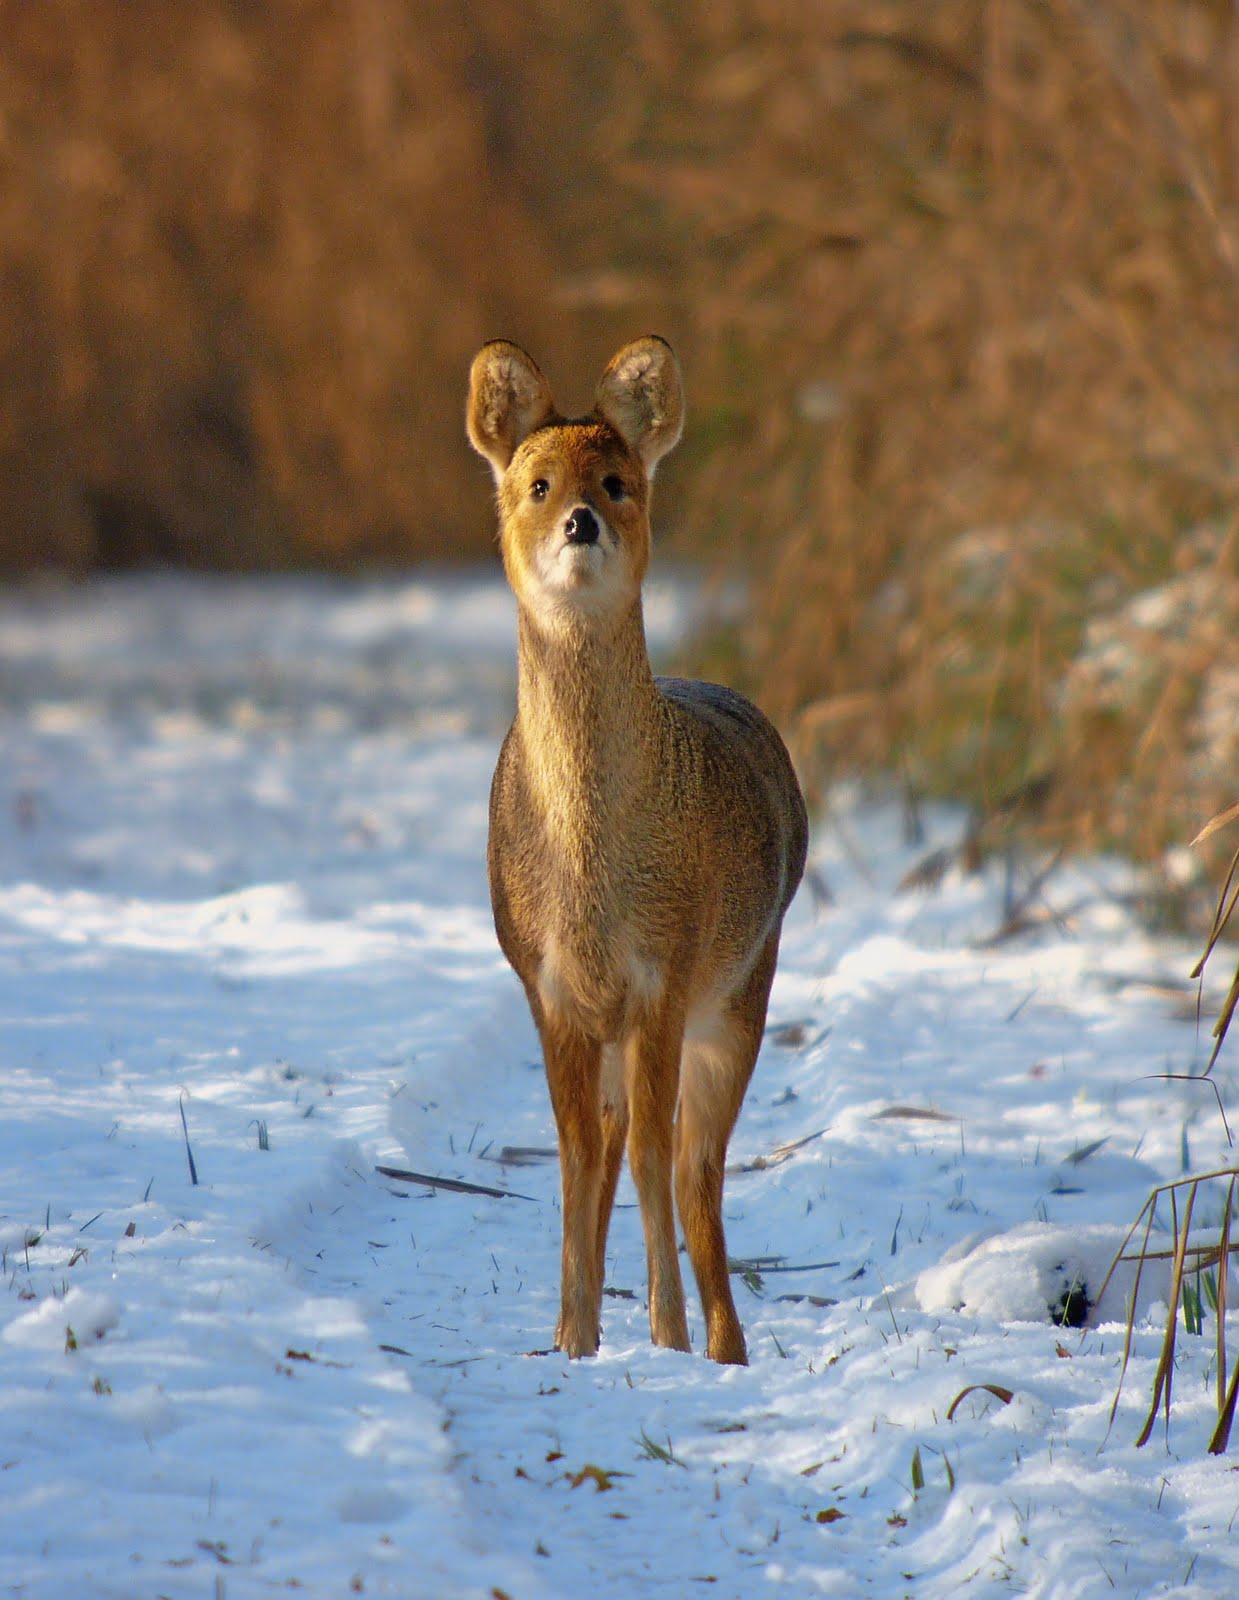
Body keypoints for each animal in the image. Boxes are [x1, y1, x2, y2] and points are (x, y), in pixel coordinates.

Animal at [467, 336, 808, 1365]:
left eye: (616, 481)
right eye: (537, 483)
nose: (580, 521)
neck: (592, 873)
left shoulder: (666, 965)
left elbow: (657, 1156)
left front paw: (664, 1337)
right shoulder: (547, 981)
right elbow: (578, 1153)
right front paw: (572, 1337)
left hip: (740, 993)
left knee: (697, 1167)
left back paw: (725, 1344)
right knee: (622, 1145)